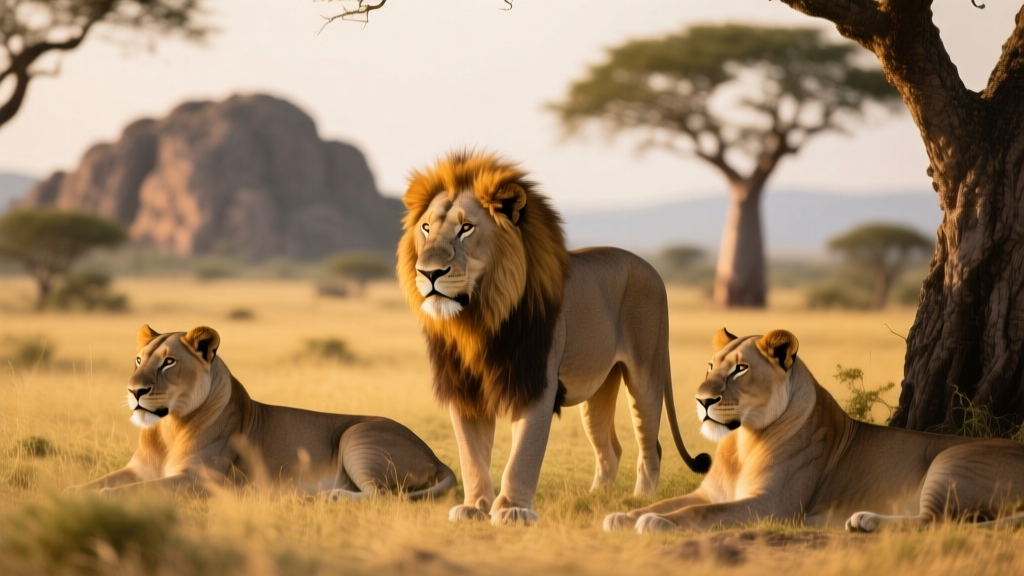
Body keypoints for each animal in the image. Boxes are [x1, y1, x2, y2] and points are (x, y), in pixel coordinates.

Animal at [67, 325, 456, 500]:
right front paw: (70, 491)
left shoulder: (199, 480)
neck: (166, 428)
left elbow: (138, 490)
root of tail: (435, 456)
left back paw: (324, 495)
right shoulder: (136, 469)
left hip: (357, 435)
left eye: (169, 362)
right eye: (138, 360)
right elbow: (102, 480)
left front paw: (104, 498)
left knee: (384, 496)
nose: (135, 391)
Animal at [397, 151, 710, 526]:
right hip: (599, 386)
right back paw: (596, 497)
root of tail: (653, 270)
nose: (428, 273)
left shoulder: (536, 383)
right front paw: (474, 507)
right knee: (610, 448)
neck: (478, 321)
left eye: (466, 228)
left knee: (651, 444)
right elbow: (472, 456)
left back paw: (638, 500)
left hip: (646, 372)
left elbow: (523, 455)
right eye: (426, 228)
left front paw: (512, 510)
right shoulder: (464, 388)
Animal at [603, 328, 1024, 534]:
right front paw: (622, 516)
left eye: (740, 369)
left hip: (952, 460)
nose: (702, 400)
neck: (741, 441)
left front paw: (655, 524)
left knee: (939, 522)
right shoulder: (710, 492)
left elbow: (698, 514)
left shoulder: (772, 506)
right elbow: (667, 503)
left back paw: (865, 521)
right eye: (711, 365)